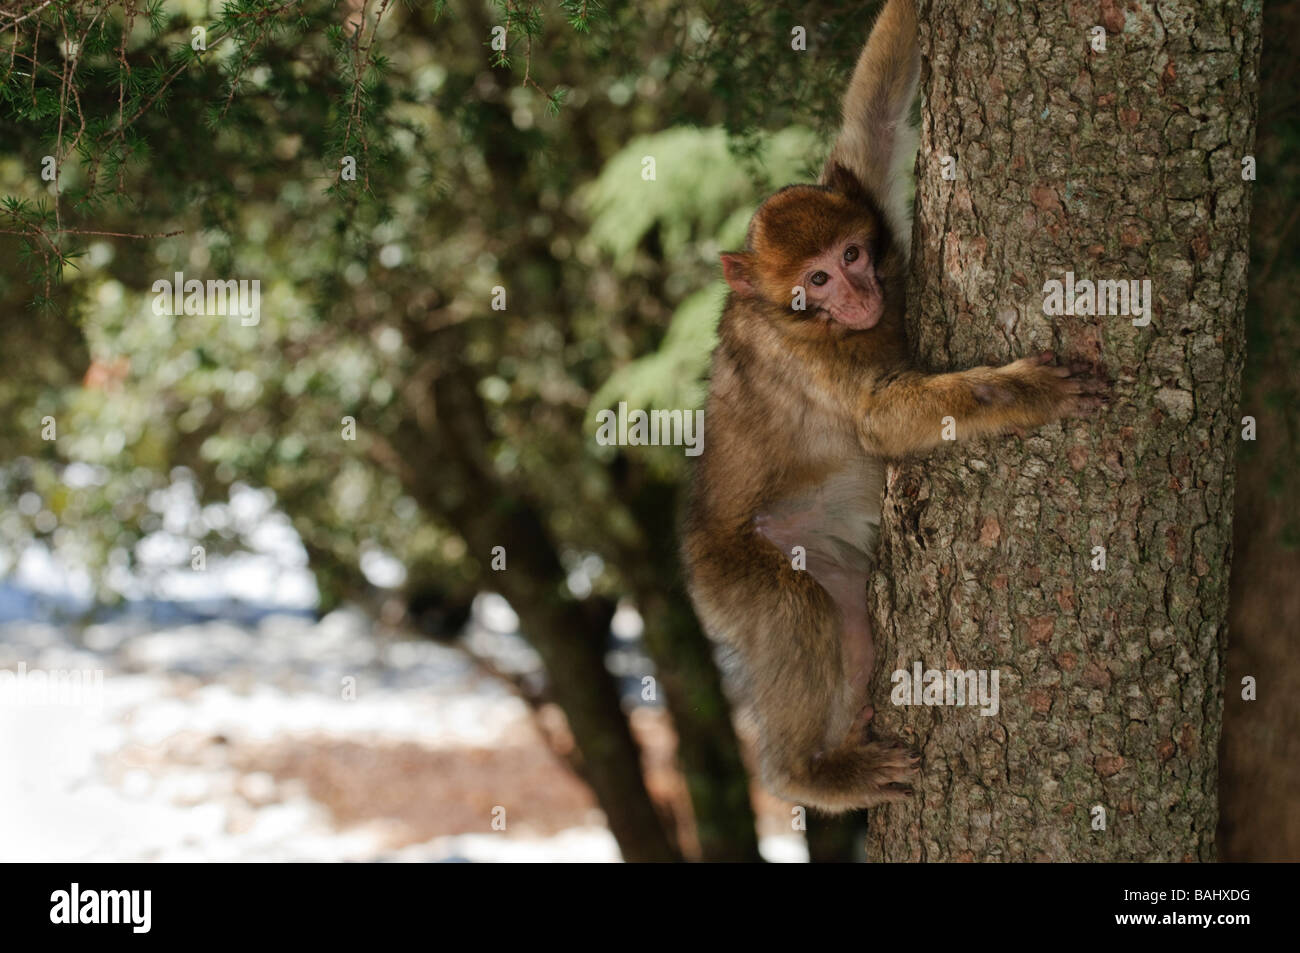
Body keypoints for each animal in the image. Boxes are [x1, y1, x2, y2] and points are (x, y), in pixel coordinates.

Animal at [681, 0, 1106, 812]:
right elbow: (880, 420)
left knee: (849, 619)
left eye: (851, 253)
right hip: (734, 575)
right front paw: (1028, 392)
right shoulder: (801, 357)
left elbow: (872, 117)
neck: (809, 322)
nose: (858, 293)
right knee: (795, 612)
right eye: (816, 279)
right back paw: (808, 774)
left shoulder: (860, 191)